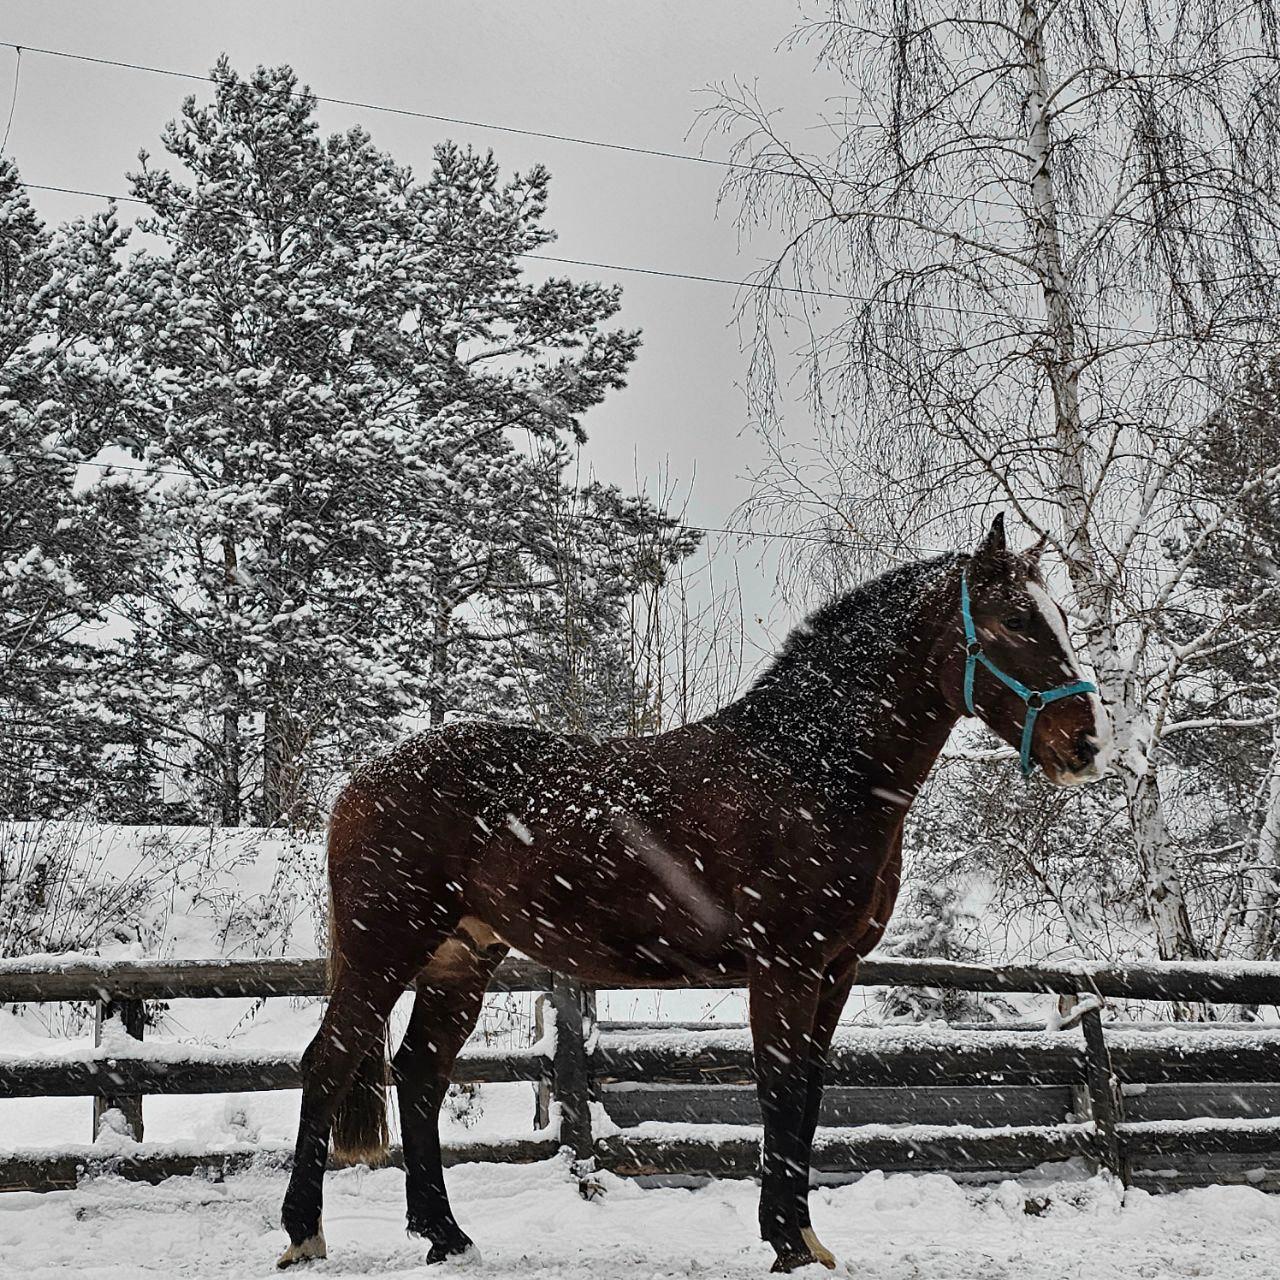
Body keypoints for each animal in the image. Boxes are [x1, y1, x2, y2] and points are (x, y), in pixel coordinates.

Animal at [277, 514, 1111, 1274]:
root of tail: (362, 782)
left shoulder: (836, 971)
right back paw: (303, 1235)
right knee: (328, 1062)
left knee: (420, 1075)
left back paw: (446, 1236)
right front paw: (788, 1244)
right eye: (1015, 619)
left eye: (1062, 618)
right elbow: (779, 1089)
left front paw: (806, 1238)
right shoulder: (784, 968)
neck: (806, 771)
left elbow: (809, 1093)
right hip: (384, 950)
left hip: (460, 961)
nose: (1086, 745)